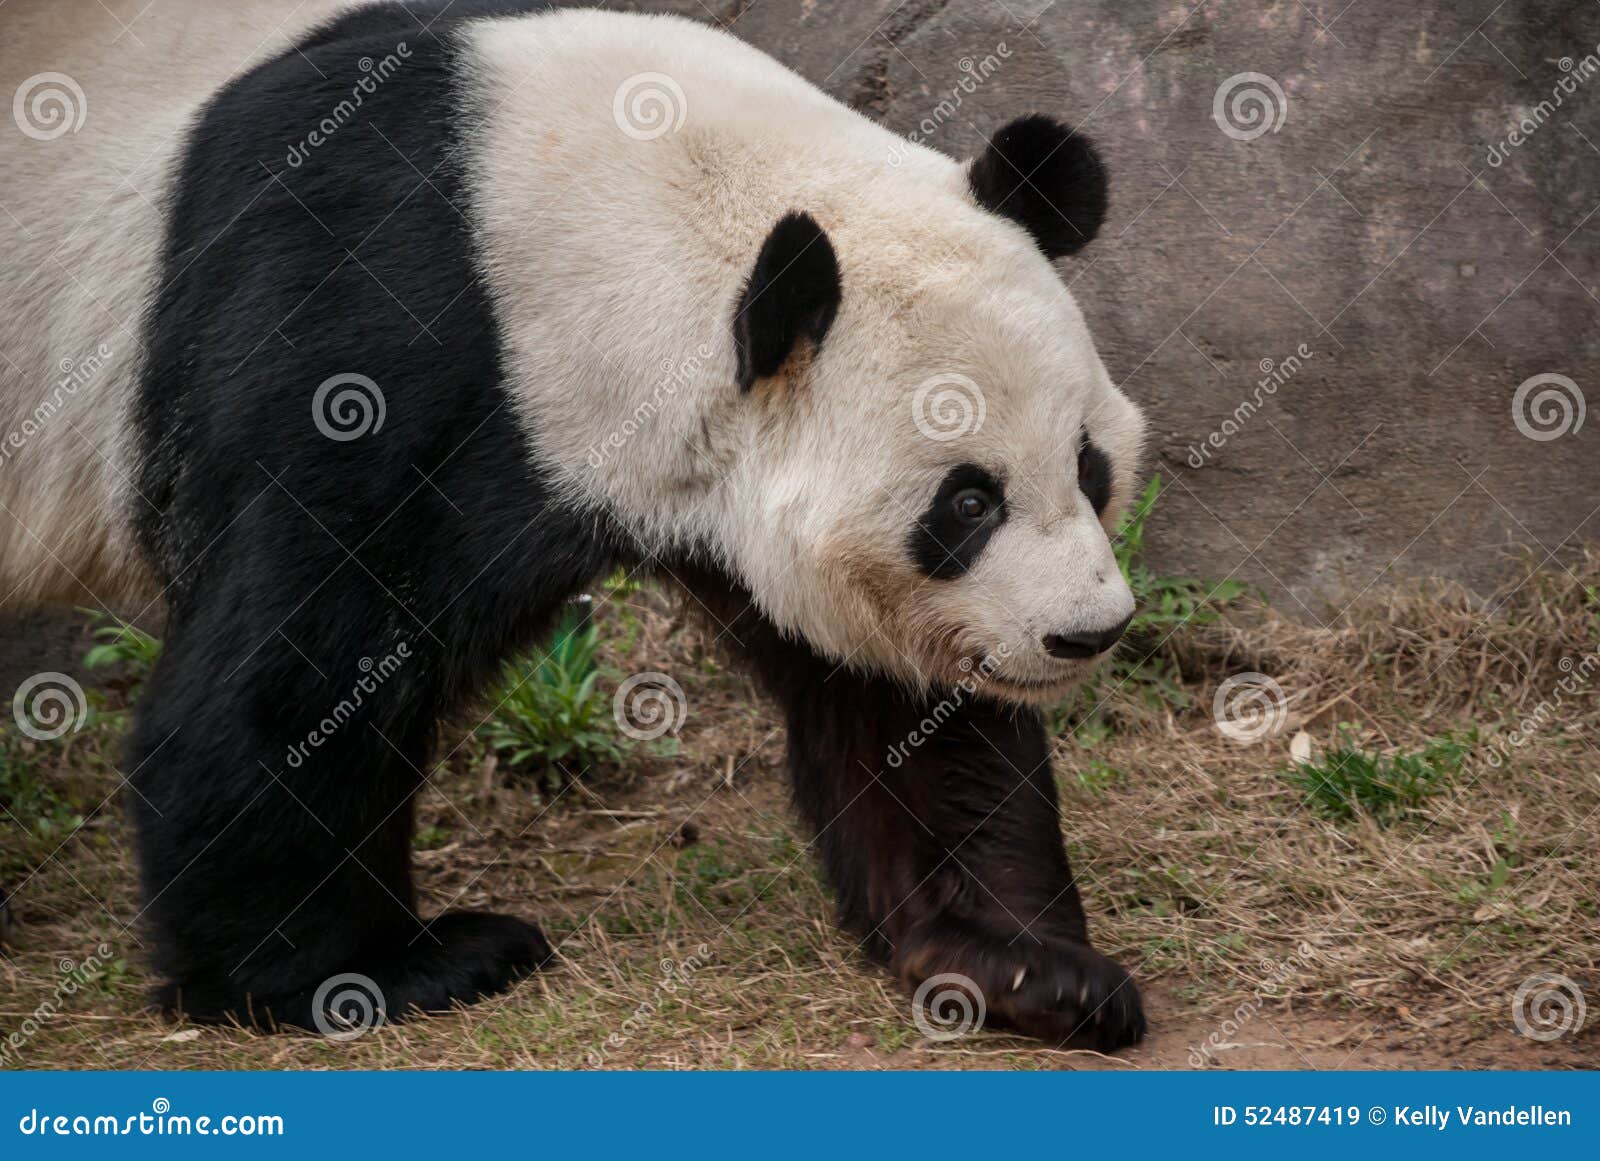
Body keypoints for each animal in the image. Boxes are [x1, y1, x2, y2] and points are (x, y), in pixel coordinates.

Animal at [0, 1, 1148, 1049]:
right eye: (967, 503)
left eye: (1089, 467)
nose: (1086, 633)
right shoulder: (356, 336)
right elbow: (290, 672)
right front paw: (362, 972)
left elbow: (889, 699)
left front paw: (1024, 966)